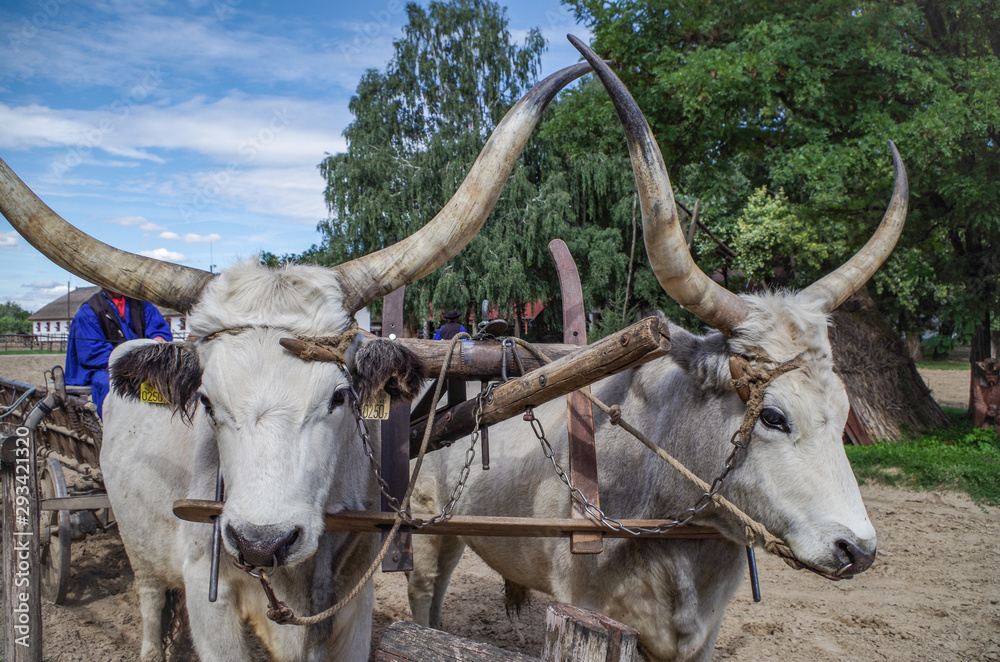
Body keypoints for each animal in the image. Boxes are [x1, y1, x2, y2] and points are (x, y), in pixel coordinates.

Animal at [0, 61, 592, 662]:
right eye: (207, 402)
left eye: (340, 396)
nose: (262, 542)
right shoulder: (209, 601)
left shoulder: (354, 604)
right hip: (143, 552)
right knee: (148, 605)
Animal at [407, 40, 901, 662]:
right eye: (772, 415)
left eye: (843, 413)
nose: (858, 550)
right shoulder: (589, 609)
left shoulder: (705, 633)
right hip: (427, 536)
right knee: (426, 604)